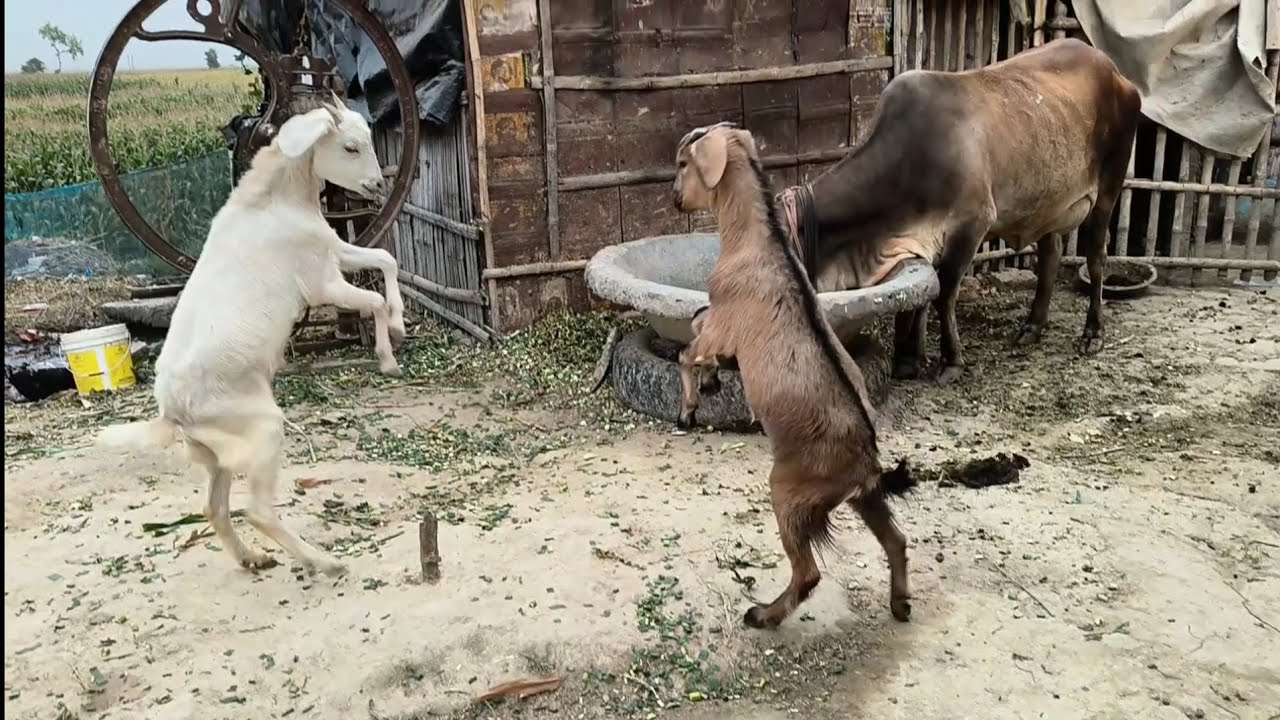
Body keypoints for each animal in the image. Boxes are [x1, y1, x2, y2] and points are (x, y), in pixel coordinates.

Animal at [95, 98, 406, 577]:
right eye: (350, 147)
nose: (375, 185)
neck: (271, 202)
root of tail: (172, 413)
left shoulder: (333, 250)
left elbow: (385, 258)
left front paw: (400, 323)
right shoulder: (321, 281)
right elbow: (371, 299)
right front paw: (389, 349)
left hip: (217, 453)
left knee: (215, 508)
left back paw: (252, 558)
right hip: (262, 430)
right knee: (257, 510)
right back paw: (323, 561)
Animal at [672, 122, 916, 629]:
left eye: (683, 163)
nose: (675, 199)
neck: (760, 243)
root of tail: (864, 460)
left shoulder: (724, 324)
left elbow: (690, 346)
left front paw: (691, 405)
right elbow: (696, 338)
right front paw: (711, 382)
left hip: (789, 490)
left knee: (807, 574)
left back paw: (762, 615)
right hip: (863, 498)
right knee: (896, 540)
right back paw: (900, 603)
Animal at [779, 38, 1142, 383]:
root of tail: (1114, 71)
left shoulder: (972, 223)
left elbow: (943, 294)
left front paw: (950, 361)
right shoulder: (919, 241)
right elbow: (917, 298)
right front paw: (908, 360)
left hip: (1109, 186)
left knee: (1096, 257)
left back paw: (1092, 333)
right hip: (1049, 202)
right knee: (1050, 255)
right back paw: (1032, 327)